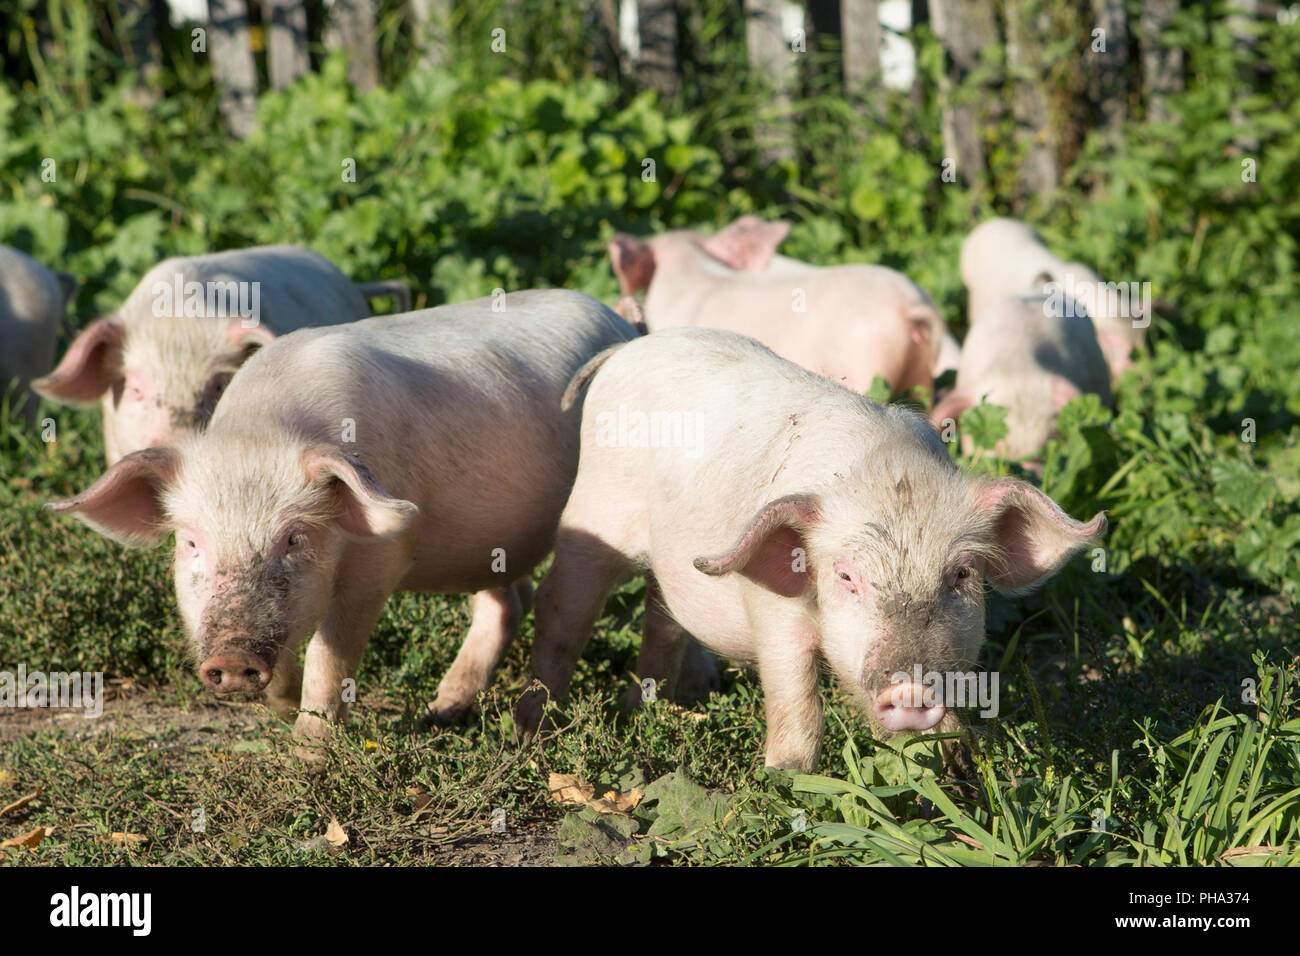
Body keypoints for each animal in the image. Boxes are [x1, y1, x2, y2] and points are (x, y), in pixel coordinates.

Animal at [47, 290, 638, 747]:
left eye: (294, 538)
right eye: (192, 542)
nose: (234, 656)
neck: (260, 433)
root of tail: (619, 318)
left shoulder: (385, 556)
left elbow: (329, 656)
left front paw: (307, 757)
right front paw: (284, 712)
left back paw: (516, 735)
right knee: (506, 602)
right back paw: (440, 714)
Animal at [517, 328, 1104, 771]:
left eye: (961, 574)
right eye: (845, 576)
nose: (911, 687)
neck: (886, 474)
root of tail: (627, 349)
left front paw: (955, 769)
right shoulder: (773, 608)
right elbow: (795, 692)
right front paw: (787, 779)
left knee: (659, 617)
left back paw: (651, 712)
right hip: (593, 509)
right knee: (562, 612)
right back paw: (532, 731)